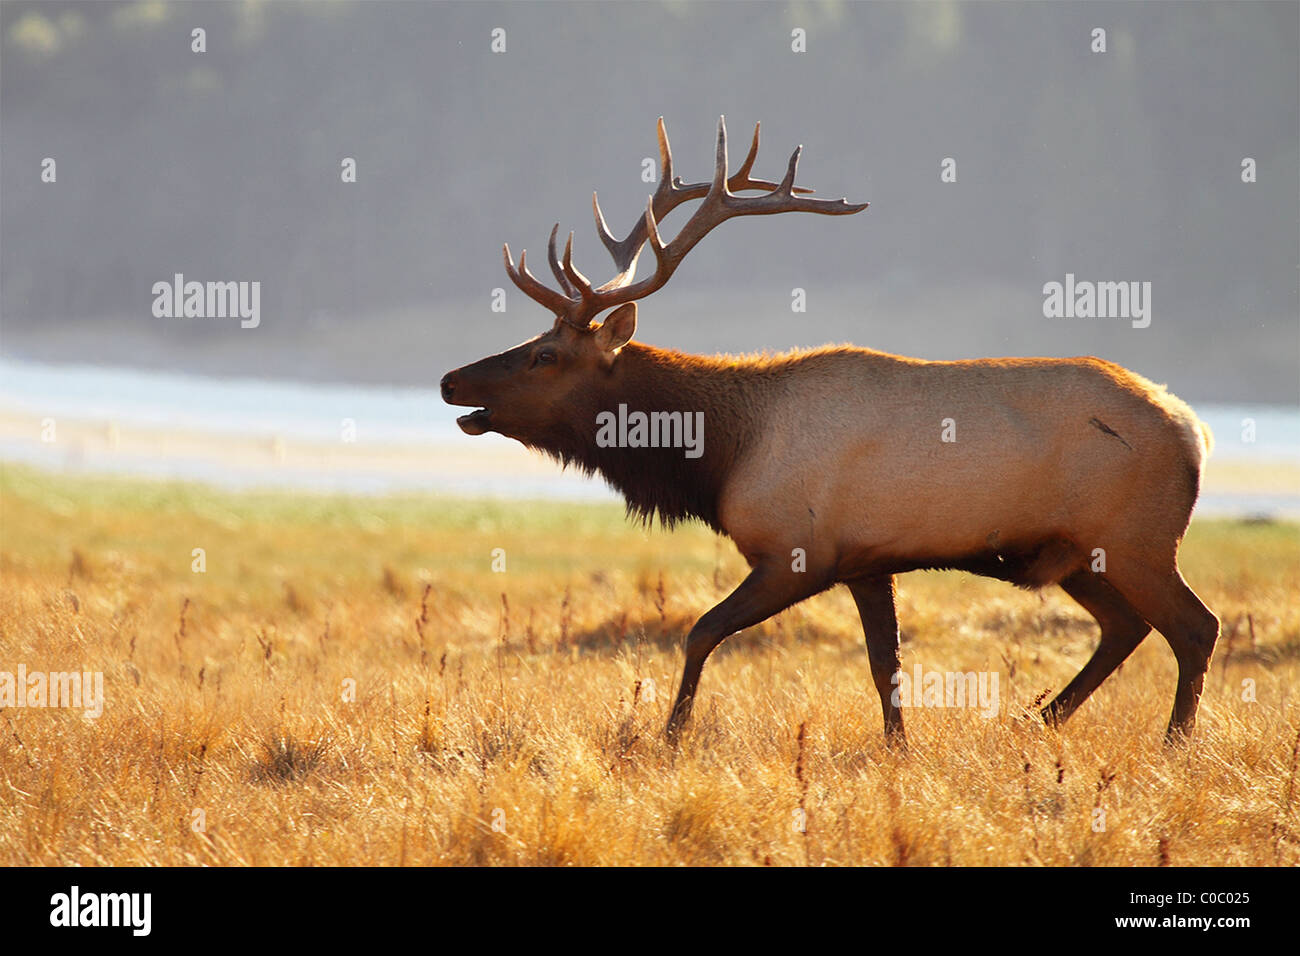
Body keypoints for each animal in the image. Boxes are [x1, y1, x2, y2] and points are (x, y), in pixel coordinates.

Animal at [440, 117, 1220, 748]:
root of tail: (1195, 431)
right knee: (1126, 627)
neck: (723, 452)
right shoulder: (867, 562)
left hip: (1137, 539)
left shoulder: (799, 550)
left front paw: (669, 735)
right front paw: (900, 751)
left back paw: (1172, 744)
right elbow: (886, 667)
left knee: (1194, 626)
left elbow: (700, 630)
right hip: (1076, 552)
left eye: (546, 355)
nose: (451, 381)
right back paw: (1041, 719)